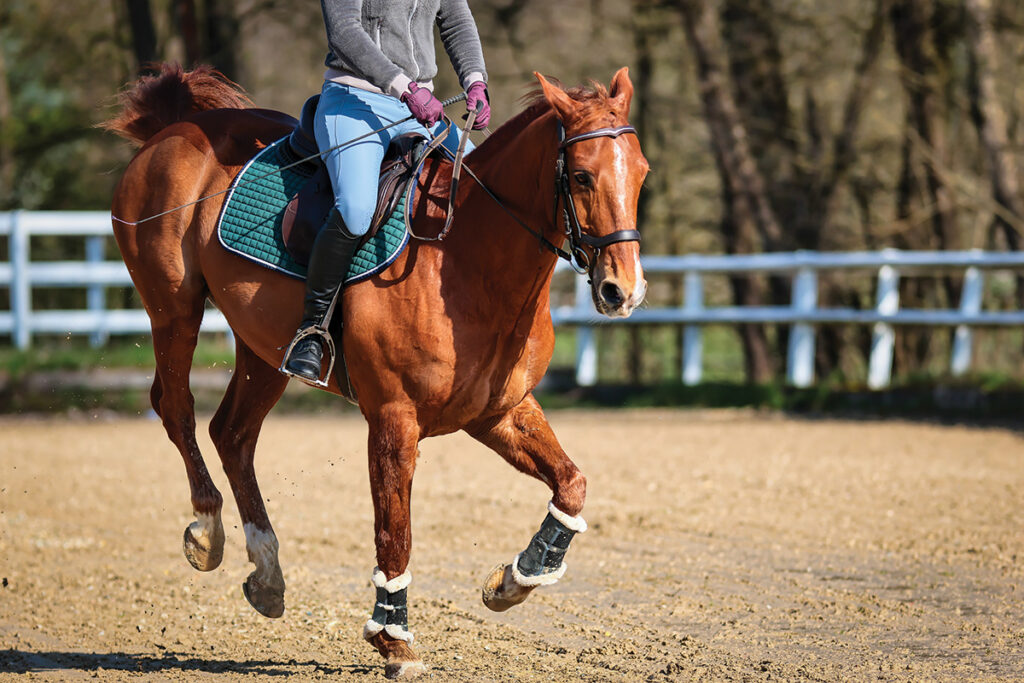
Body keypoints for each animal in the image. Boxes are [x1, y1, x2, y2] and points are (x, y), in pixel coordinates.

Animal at [105, 63, 648, 678]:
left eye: (642, 174)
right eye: (581, 177)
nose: (623, 291)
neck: (466, 260)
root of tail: (175, 129)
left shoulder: (499, 412)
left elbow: (572, 484)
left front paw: (517, 578)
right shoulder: (393, 421)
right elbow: (395, 532)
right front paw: (393, 638)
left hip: (264, 350)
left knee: (233, 434)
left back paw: (267, 573)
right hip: (174, 310)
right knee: (176, 408)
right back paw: (206, 529)